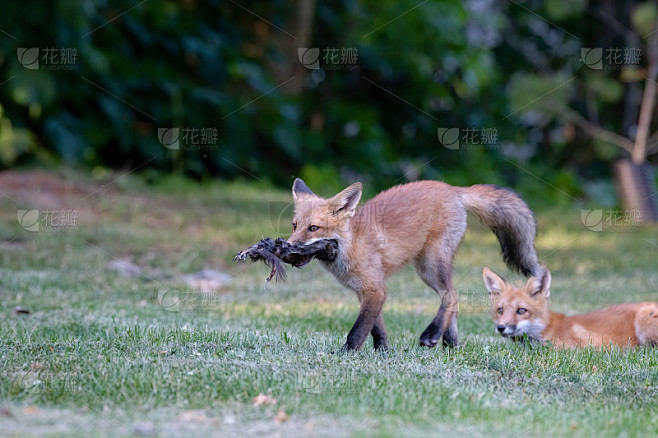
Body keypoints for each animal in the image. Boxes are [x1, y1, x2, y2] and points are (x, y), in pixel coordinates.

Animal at [287, 178, 540, 351]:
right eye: (295, 225)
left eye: (314, 228)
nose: (287, 246)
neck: (351, 244)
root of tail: (453, 189)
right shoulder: (367, 291)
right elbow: (377, 328)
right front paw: (383, 353)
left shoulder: (375, 289)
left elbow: (358, 331)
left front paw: (345, 354)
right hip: (426, 271)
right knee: (452, 298)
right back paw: (451, 343)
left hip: (432, 263)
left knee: (452, 294)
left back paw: (433, 334)